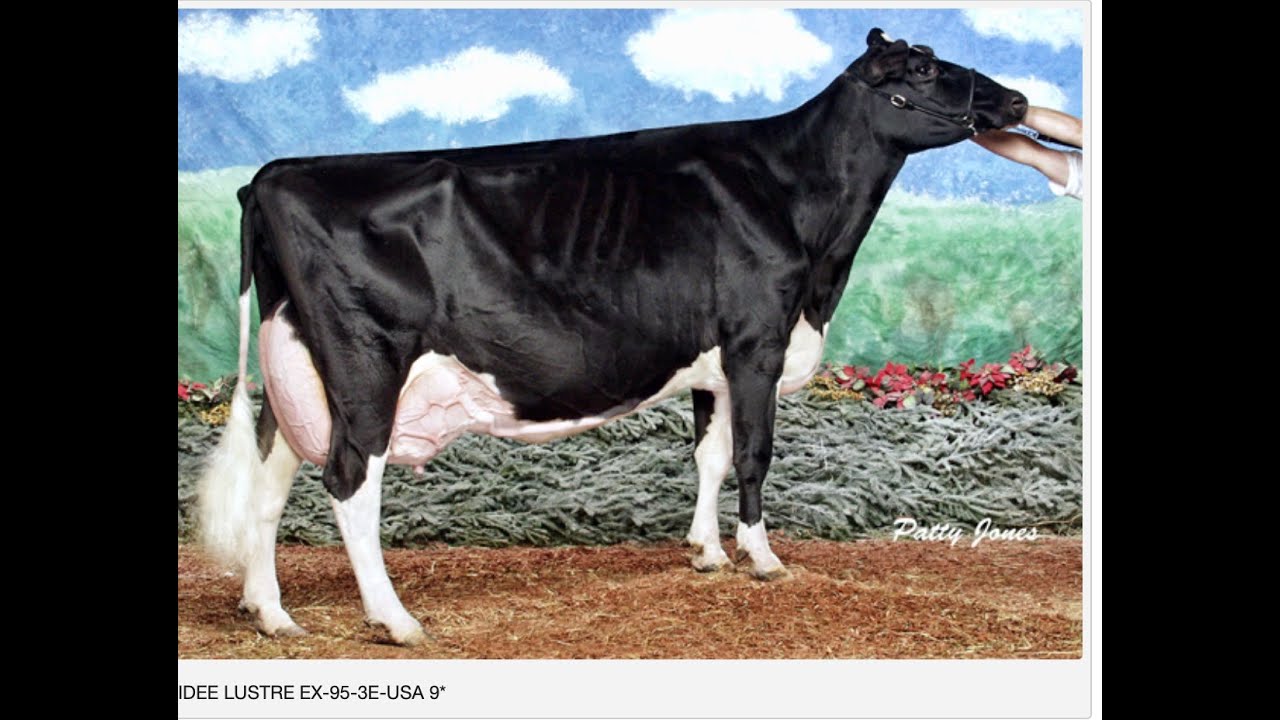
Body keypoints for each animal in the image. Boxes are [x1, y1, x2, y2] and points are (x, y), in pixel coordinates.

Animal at [198, 29, 1028, 646]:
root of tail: (273, 174)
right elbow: (754, 456)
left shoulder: (712, 365)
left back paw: (270, 614)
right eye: (924, 69)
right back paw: (395, 621)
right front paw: (761, 558)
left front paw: (706, 553)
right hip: (366, 365)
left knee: (269, 482)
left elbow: (709, 455)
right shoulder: (756, 341)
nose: (1017, 97)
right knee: (348, 481)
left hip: (296, 371)